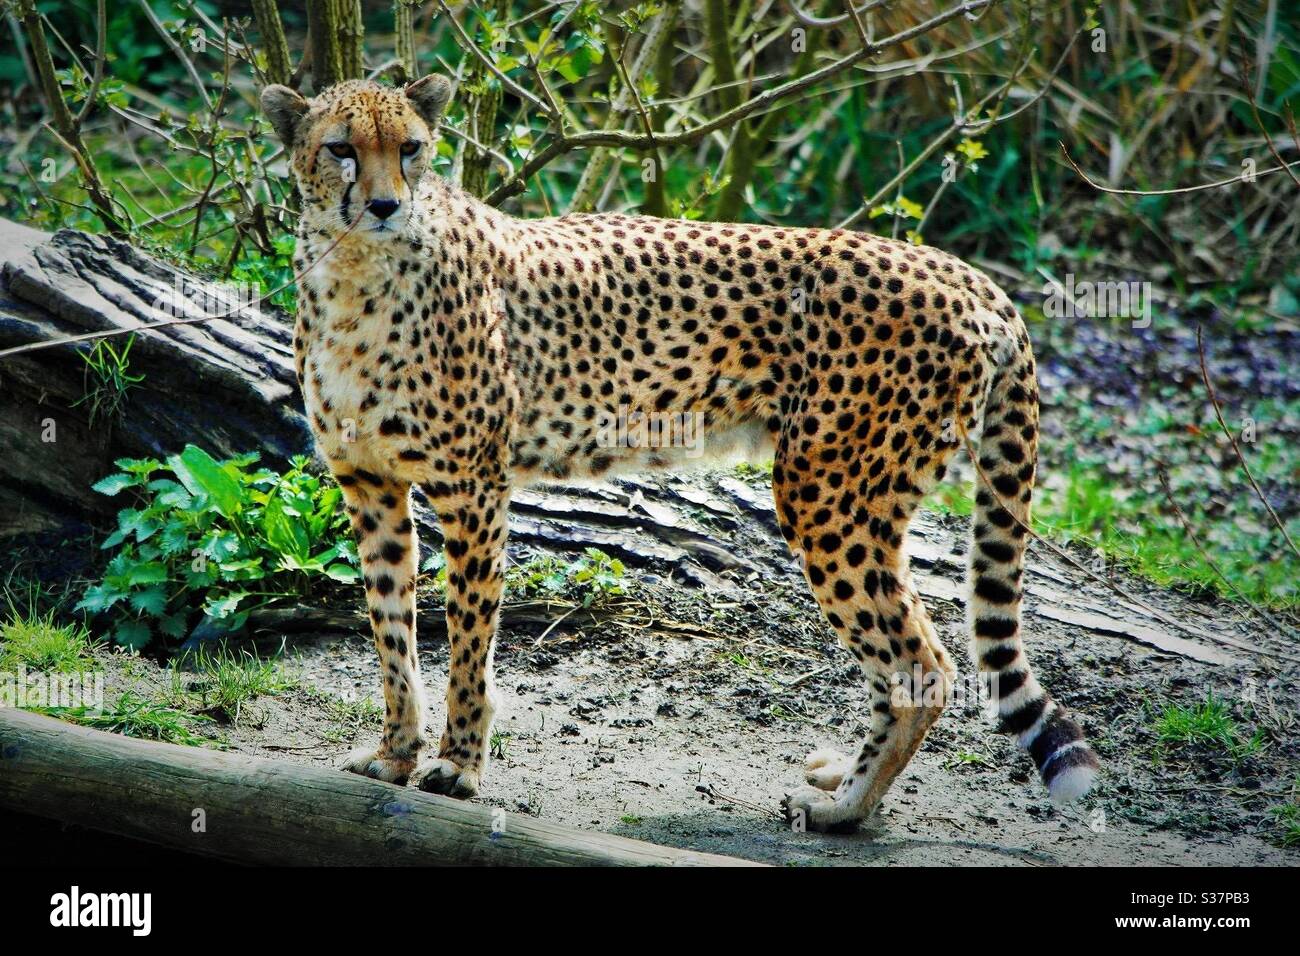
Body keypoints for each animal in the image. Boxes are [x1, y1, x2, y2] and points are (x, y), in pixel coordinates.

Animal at [260, 74, 1100, 832]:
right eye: (341, 149)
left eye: (410, 148)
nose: (384, 204)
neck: (355, 276)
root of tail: (967, 274)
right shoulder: (370, 485)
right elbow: (390, 630)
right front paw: (395, 752)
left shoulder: (473, 489)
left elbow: (467, 634)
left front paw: (458, 765)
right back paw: (844, 780)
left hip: (826, 495)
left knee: (924, 662)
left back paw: (843, 811)